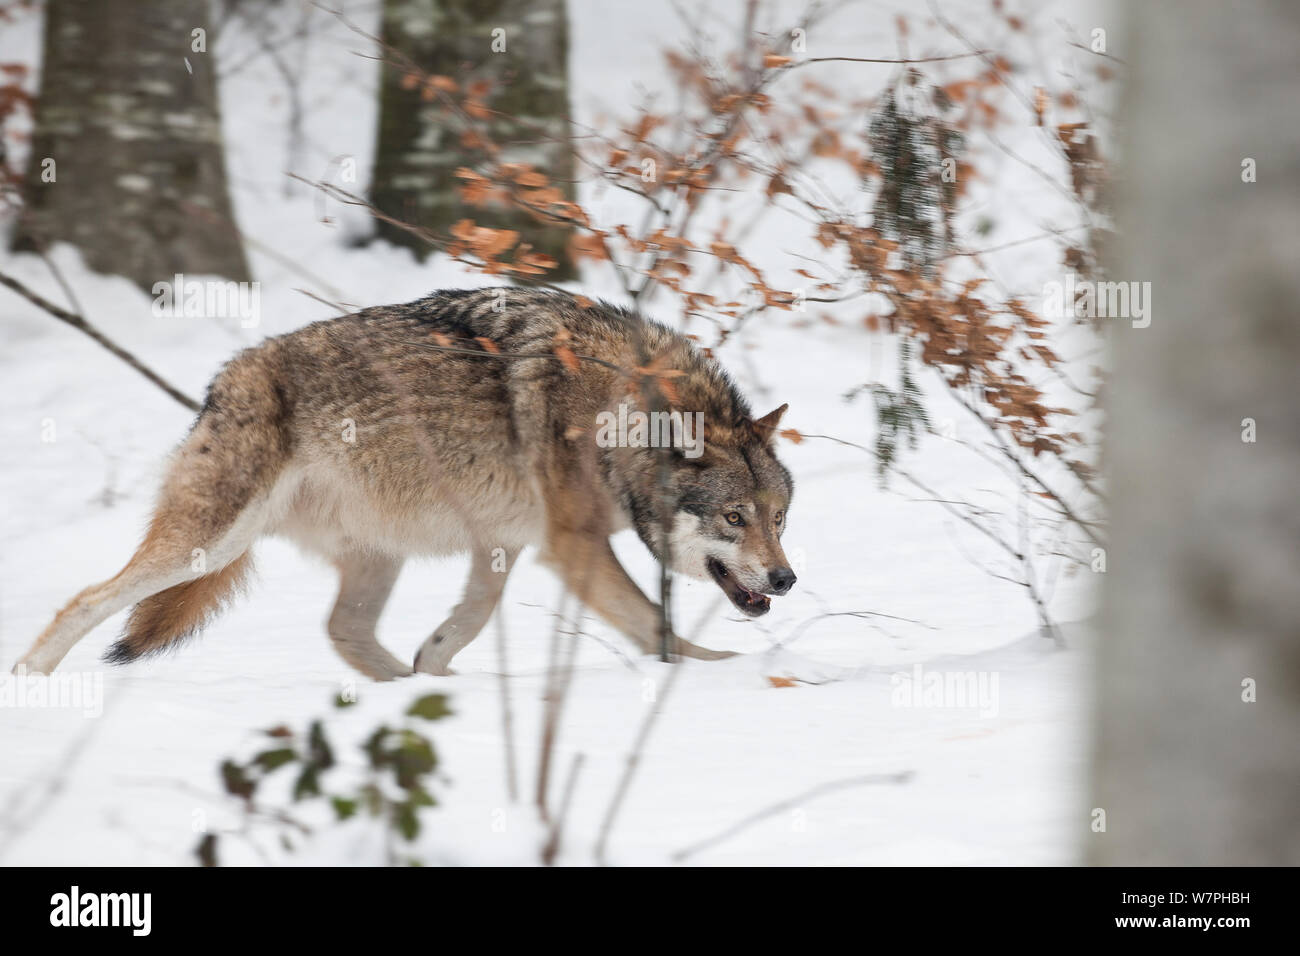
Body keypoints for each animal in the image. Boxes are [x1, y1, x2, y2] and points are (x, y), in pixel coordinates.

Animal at [13, 288, 796, 680]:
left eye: (779, 517)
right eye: (734, 517)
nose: (786, 579)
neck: (616, 416)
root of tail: (223, 379)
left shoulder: (507, 541)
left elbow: (469, 619)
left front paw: (437, 668)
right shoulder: (572, 546)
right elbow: (655, 624)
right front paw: (720, 672)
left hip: (375, 556)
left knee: (342, 630)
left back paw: (403, 690)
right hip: (210, 544)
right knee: (87, 599)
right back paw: (29, 677)